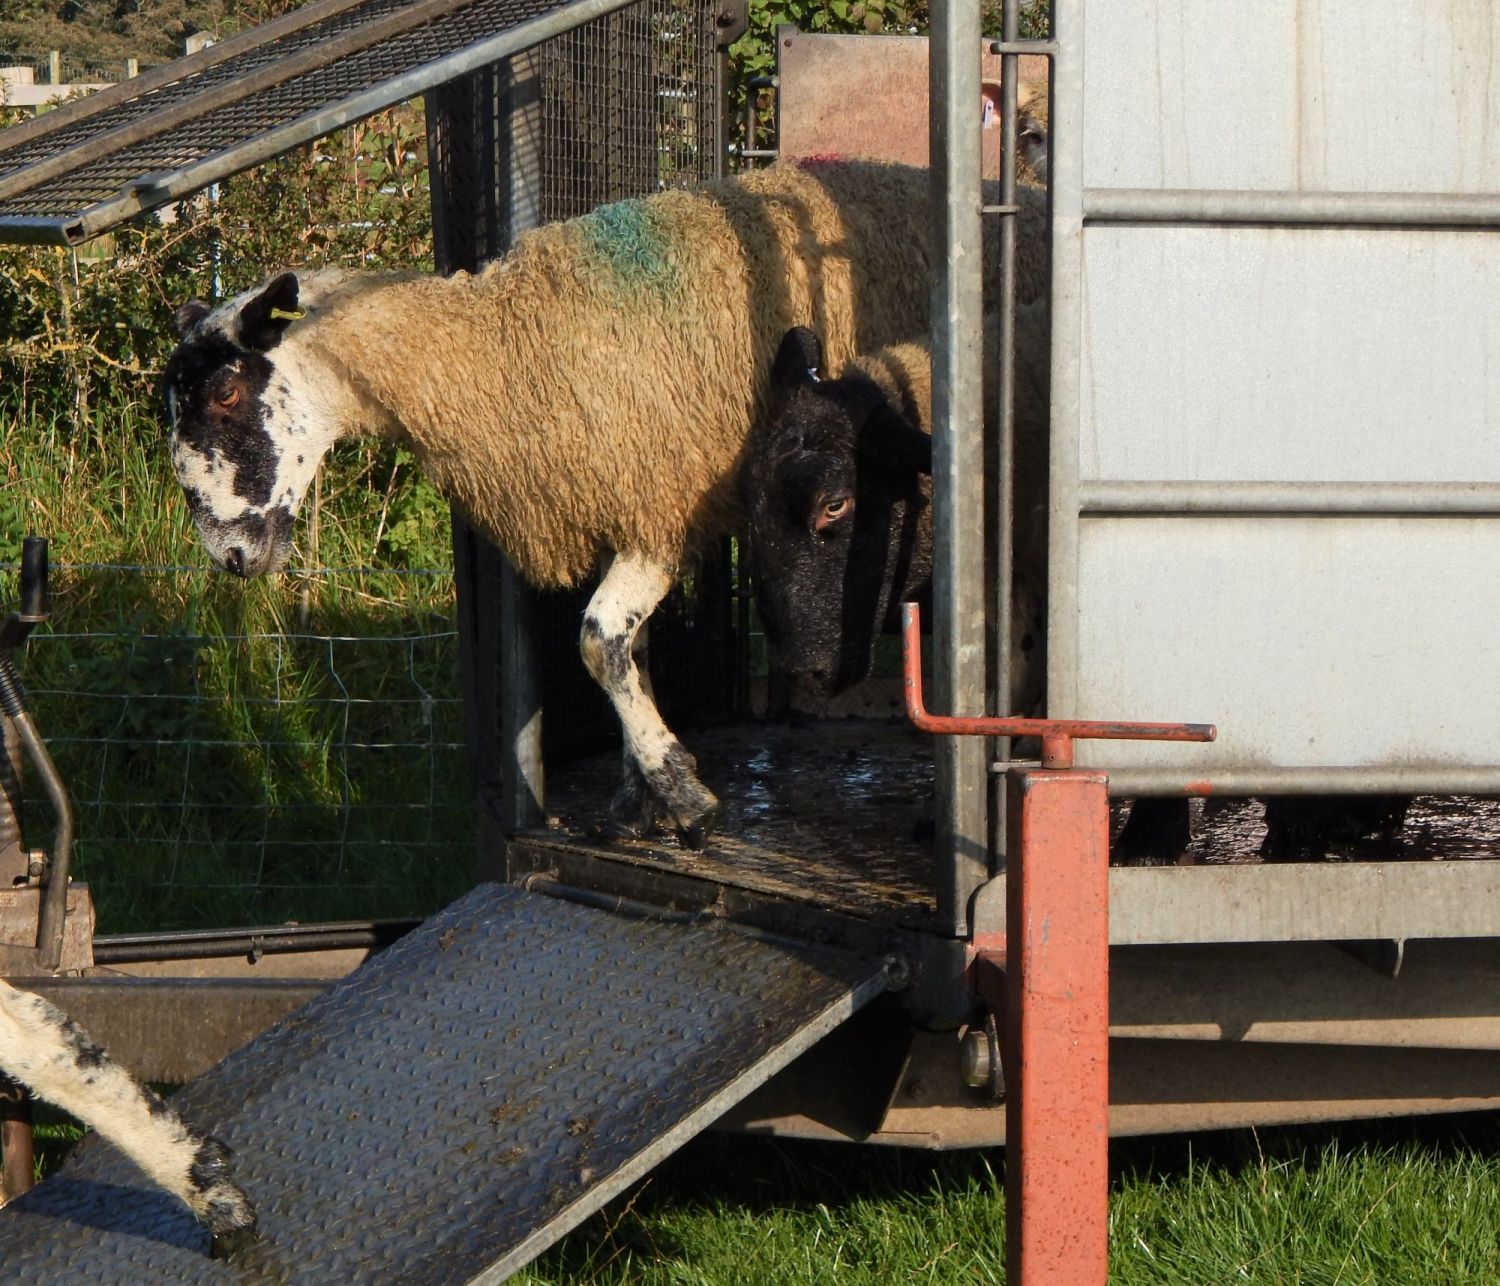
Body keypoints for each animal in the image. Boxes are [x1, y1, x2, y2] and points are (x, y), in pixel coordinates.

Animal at [163, 159, 1048, 848]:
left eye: (225, 391)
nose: (230, 557)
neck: (495, 350)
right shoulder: (630, 505)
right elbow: (632, 649)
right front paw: (641, 801)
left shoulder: (659, 505)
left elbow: (596, 642)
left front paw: (682, 789)